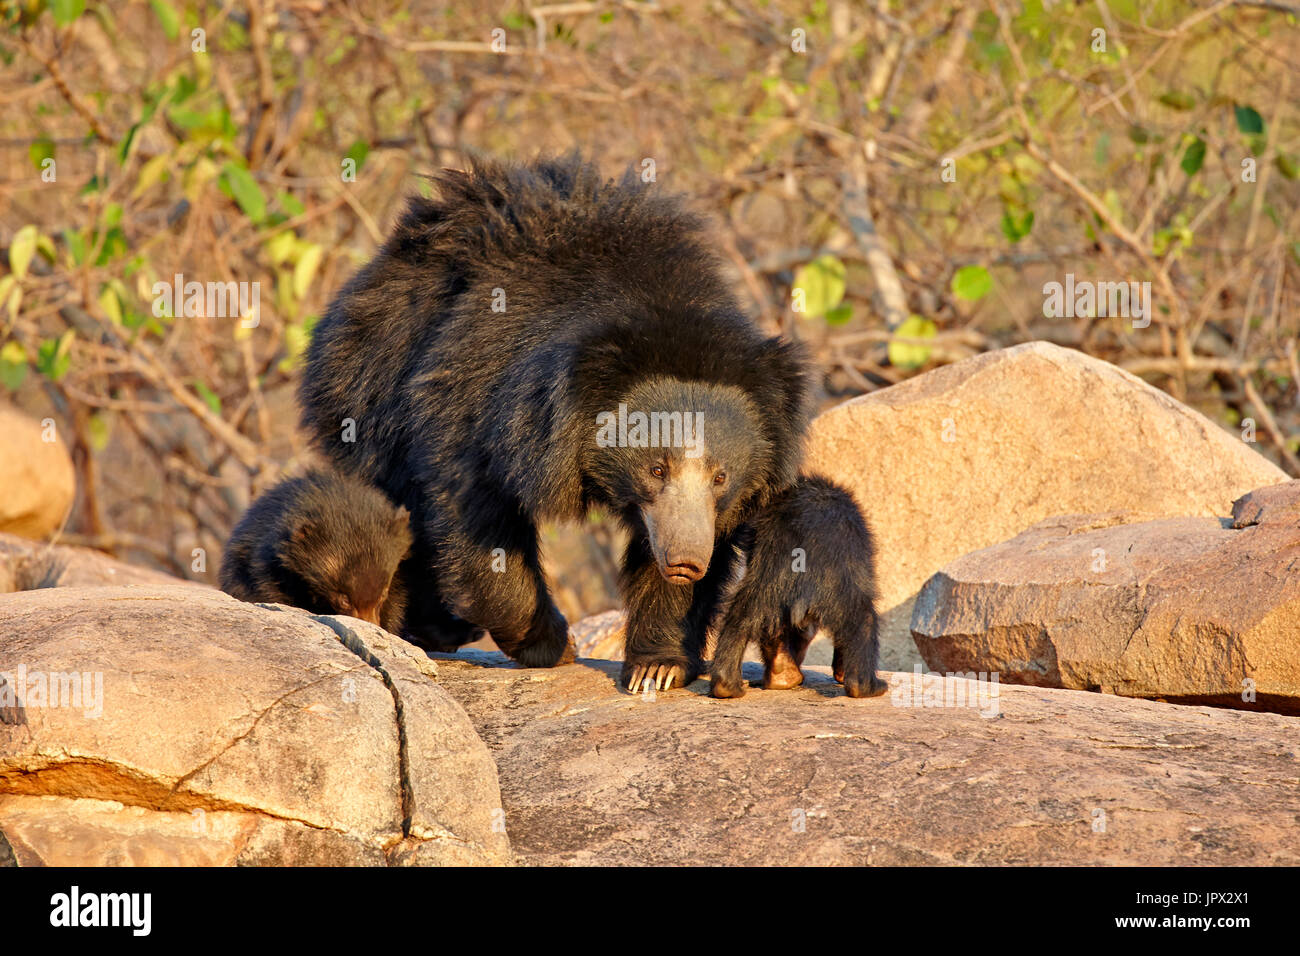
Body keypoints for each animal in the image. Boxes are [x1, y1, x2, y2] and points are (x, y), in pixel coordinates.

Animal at [298, 154, 811, 686]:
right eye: (656, 468)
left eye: (720, 477)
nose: (688, 559)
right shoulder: (476, 398)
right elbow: (477, 517)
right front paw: (551, 643)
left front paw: (658, 668)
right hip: (367, 392)